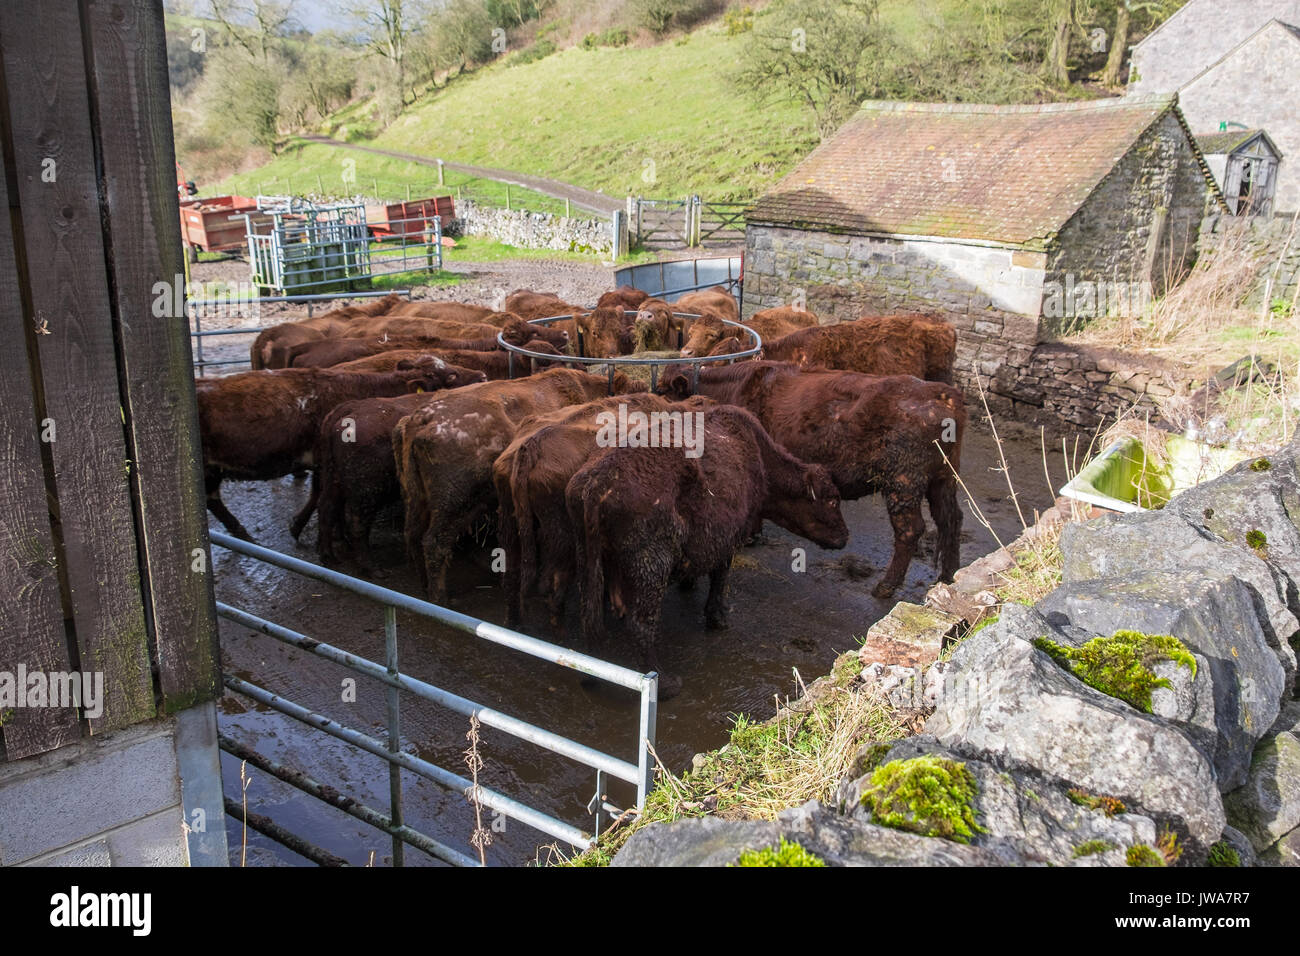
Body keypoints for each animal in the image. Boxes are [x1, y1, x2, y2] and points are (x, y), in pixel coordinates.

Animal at [392, 367, 639, 601]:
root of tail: (420, 421)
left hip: (416, 498)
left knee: (413, 534)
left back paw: (425, 587)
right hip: (454, 504)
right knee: (435, 542)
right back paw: (441, 597)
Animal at [493, 393, 715, 629]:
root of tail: (531, 445)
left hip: (510, 524)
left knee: (512, 576)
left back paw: (513, 622)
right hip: (561, 537)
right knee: (554, 585)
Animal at [566, 404, 848, 697]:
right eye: (832, 499)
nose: (844, 536)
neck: (759, 456)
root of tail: (596, 483)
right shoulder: (729, 539)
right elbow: (720, 576)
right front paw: (718, 618)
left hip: (588, 560)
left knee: (591, 618)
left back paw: (591, 676)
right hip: (652, 566)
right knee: (641, 623)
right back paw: (666, 684)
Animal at [658, 361, 965, 599]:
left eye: (662, 391)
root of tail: (942, 392)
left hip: (904, 482)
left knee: (910, 530)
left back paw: (886, 586)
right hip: (943, 479)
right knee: (951, 519)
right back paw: (948, 576)